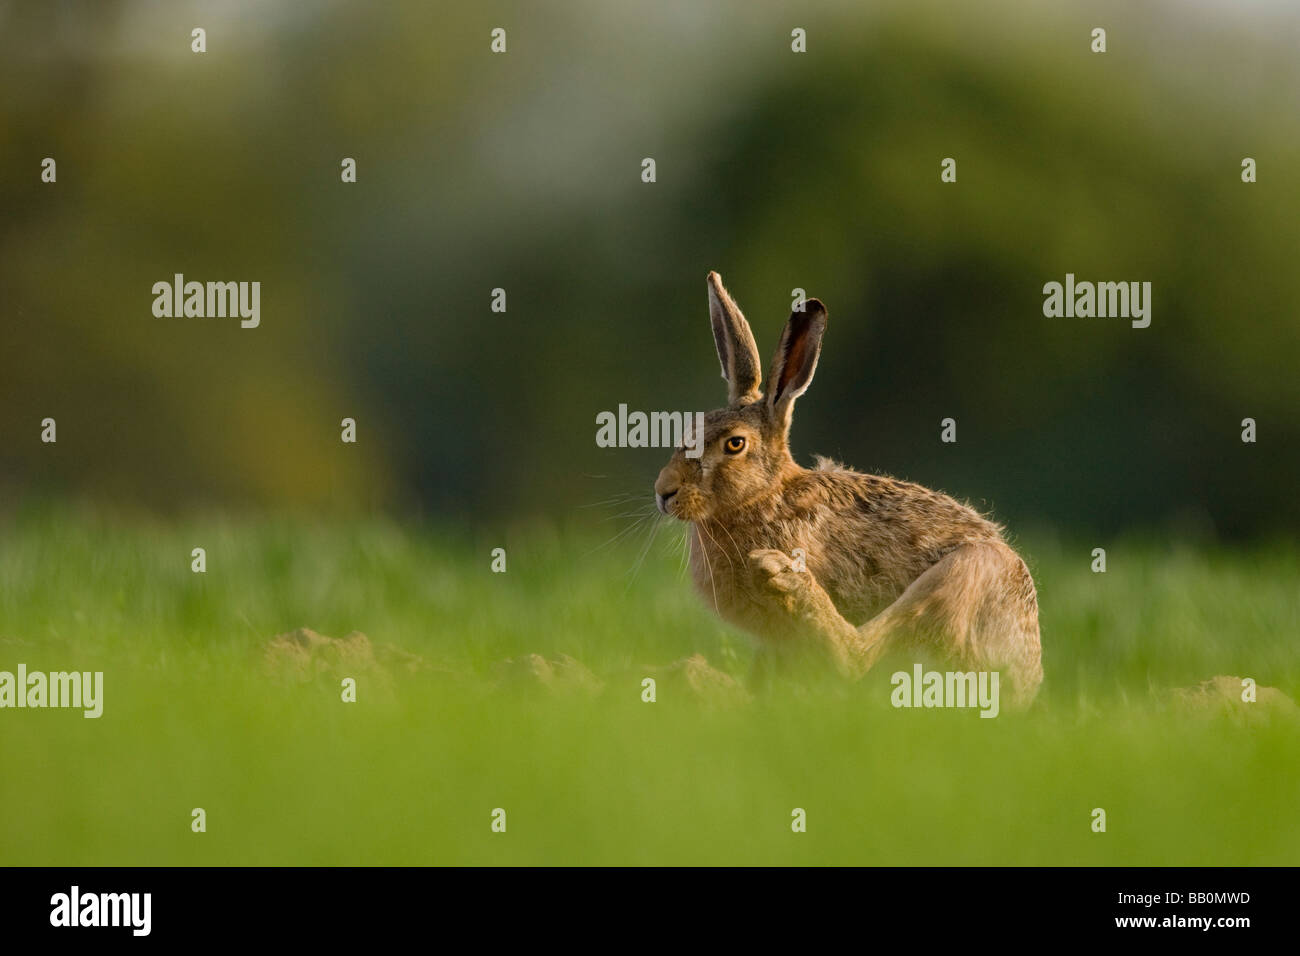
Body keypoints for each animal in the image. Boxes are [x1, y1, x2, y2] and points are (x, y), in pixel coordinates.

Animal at [654, 272, 1043, 705]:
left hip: (964, 573)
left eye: (735, 444)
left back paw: (783, 579)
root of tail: (1025, 677)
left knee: (857, 656)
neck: (765, 496)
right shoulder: (773, 648)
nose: (664, 491)